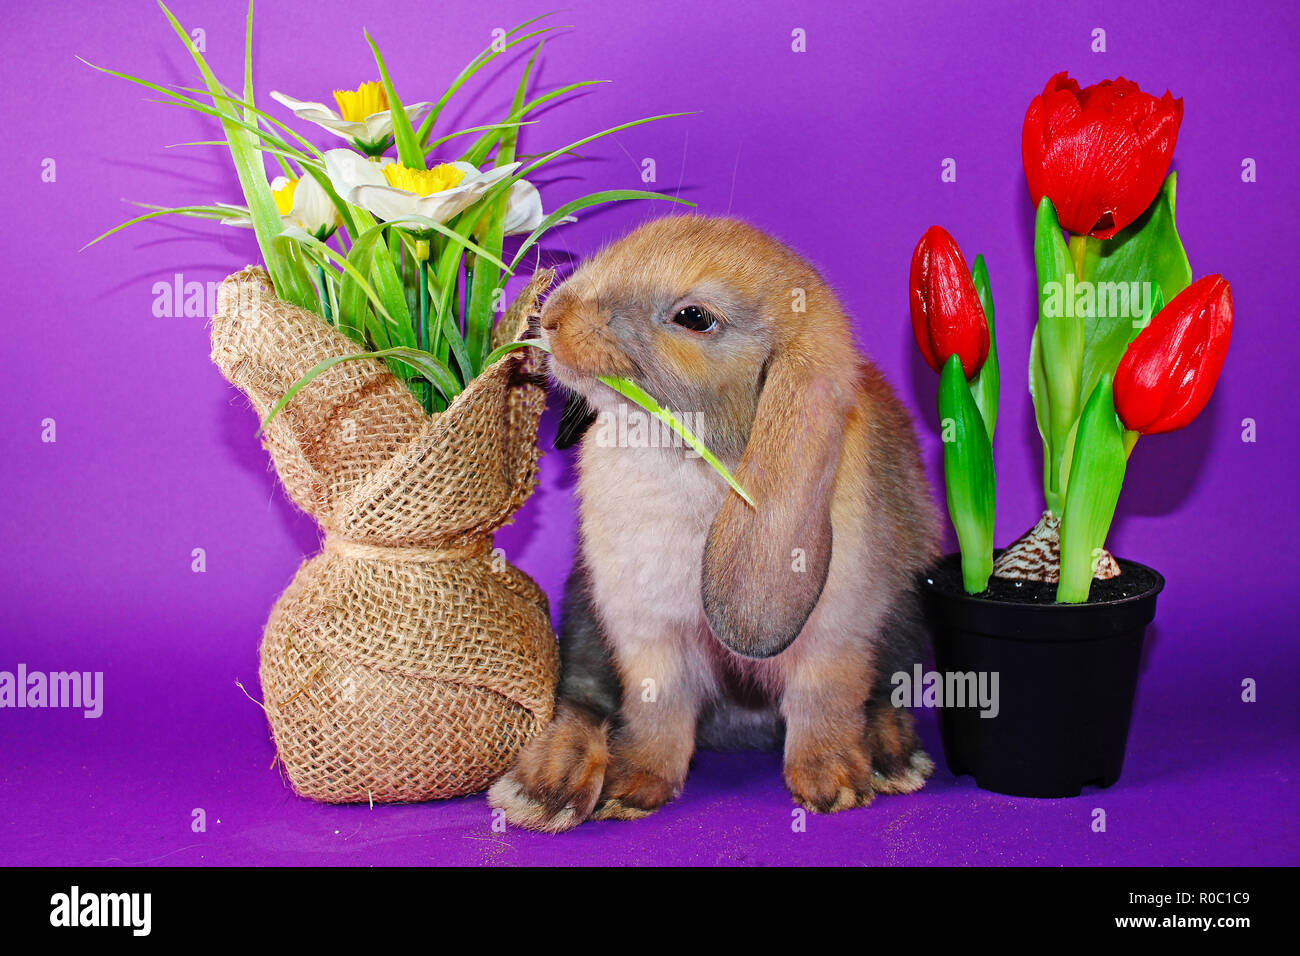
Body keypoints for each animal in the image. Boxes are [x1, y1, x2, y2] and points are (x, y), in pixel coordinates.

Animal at [488, 215, 940, 832]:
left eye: (695, 318)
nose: (553, 316)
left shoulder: (835, 639)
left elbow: (822, 707)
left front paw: (832, 786)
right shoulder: (648, 636)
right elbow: (658, 713)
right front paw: (632, 788)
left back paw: (892, 759)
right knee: (582, 699)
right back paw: (548, 787)